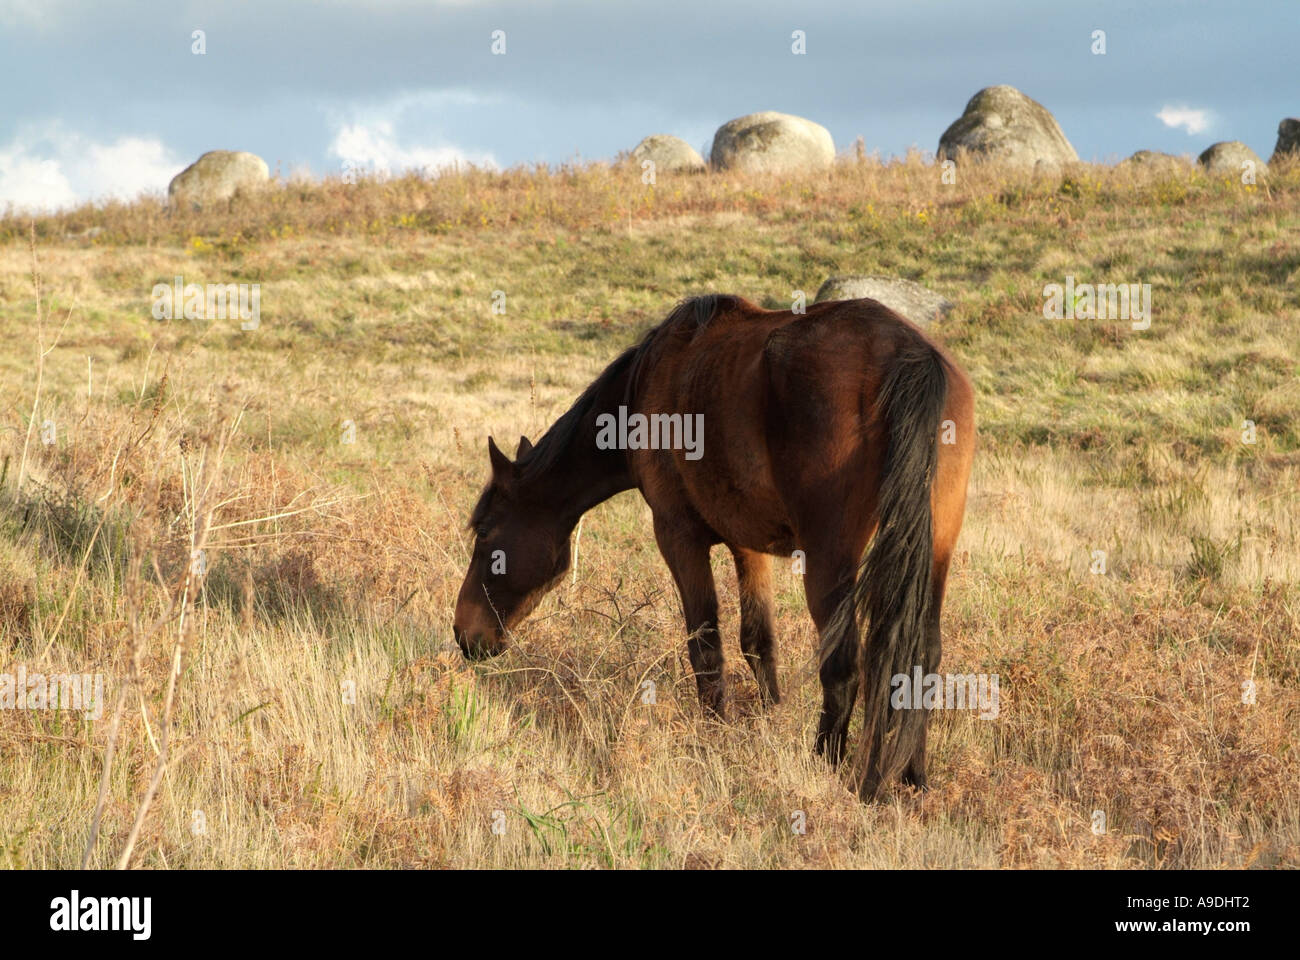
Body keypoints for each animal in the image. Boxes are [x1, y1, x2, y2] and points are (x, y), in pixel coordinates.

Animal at [453, 294, 974, 799]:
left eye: (485, 532)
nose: (464, 634)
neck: (646, 385)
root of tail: (908, 353)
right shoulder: (750, 547)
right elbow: (758, 643)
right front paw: (766, 722)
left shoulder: (677, 536)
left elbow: (705, 646)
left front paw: (715, 737)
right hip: (933, 554)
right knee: (923, 655)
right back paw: (913, 778)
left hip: (829, 560)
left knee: (843, 664)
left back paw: (830, 768)